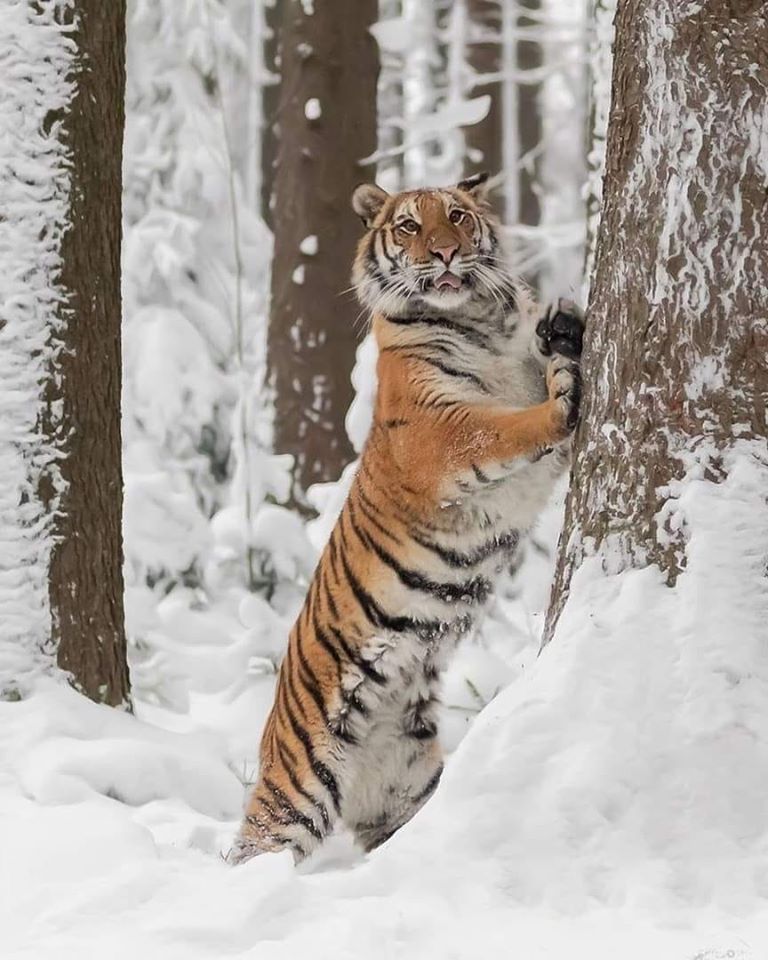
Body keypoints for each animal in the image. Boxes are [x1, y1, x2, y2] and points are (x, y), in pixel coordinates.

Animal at [231, 172, 584, 864]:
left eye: (457, 216)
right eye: (409, 226)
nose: (445, 253)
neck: (481, 322)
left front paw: (563, 330)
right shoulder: (441, 432)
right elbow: (508, 429)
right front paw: (562, 394)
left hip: (406, 788)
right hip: (292, 794)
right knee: (248, 852)